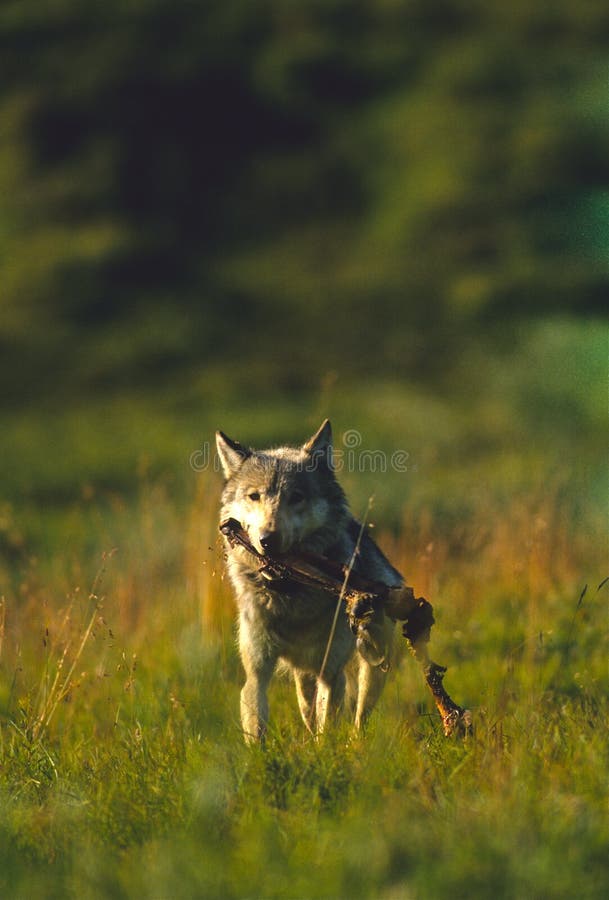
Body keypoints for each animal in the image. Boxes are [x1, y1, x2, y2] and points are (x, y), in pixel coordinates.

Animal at [216, 420, 403, 742]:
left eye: (296, 497)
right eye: (255, 496)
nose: (268, 540)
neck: (292, 593)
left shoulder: (331, 674)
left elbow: (327, 731)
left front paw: (326, 752)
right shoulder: (256, 674)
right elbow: (257, 730)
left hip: (373, 665)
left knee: (359, 718)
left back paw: (357, 746)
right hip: (303, 679)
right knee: (308, 710)